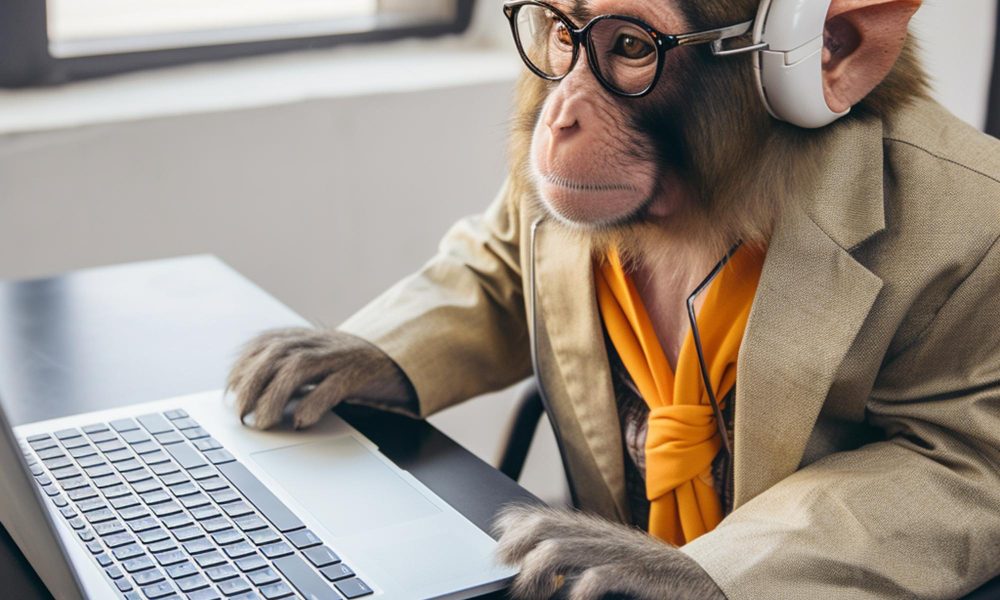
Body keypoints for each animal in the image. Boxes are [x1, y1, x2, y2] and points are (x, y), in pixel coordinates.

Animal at [229, 0, 1000, 597]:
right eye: (561, 34)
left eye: (629, 46)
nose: (561, 116)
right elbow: (498, 259)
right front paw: (339, 355)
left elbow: (957, 463)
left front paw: (649, 566)